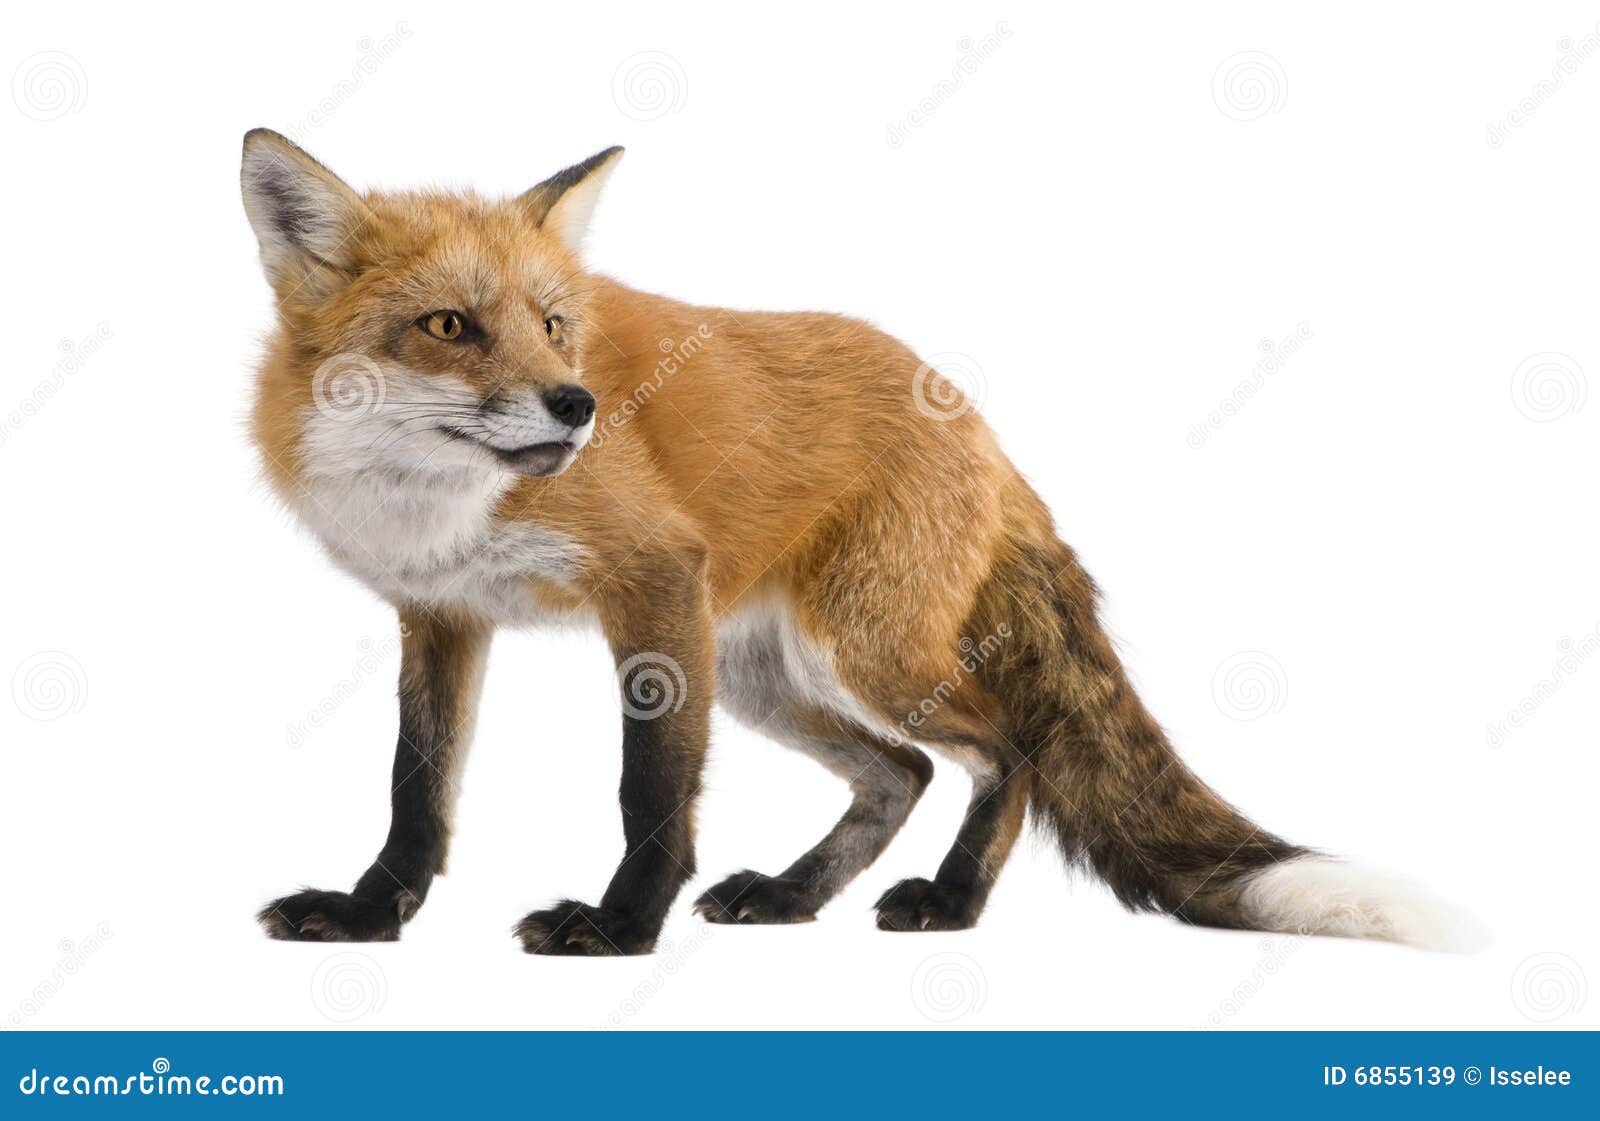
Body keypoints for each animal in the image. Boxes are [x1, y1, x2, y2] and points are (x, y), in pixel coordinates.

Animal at [241, 128, 1477, 955]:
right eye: (449, 325)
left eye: (553, 325)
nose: (577, 405)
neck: (438, 502)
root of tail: (968, 415)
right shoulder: (443, 615)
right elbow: (416, 790)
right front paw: (371, 911)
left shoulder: (651, 583)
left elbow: (650, 794)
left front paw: (622, 925)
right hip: (761, 676)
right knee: (902, 771)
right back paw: (793, 895)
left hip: (858, 652)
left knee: (1006, 750)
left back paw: (953, 901)